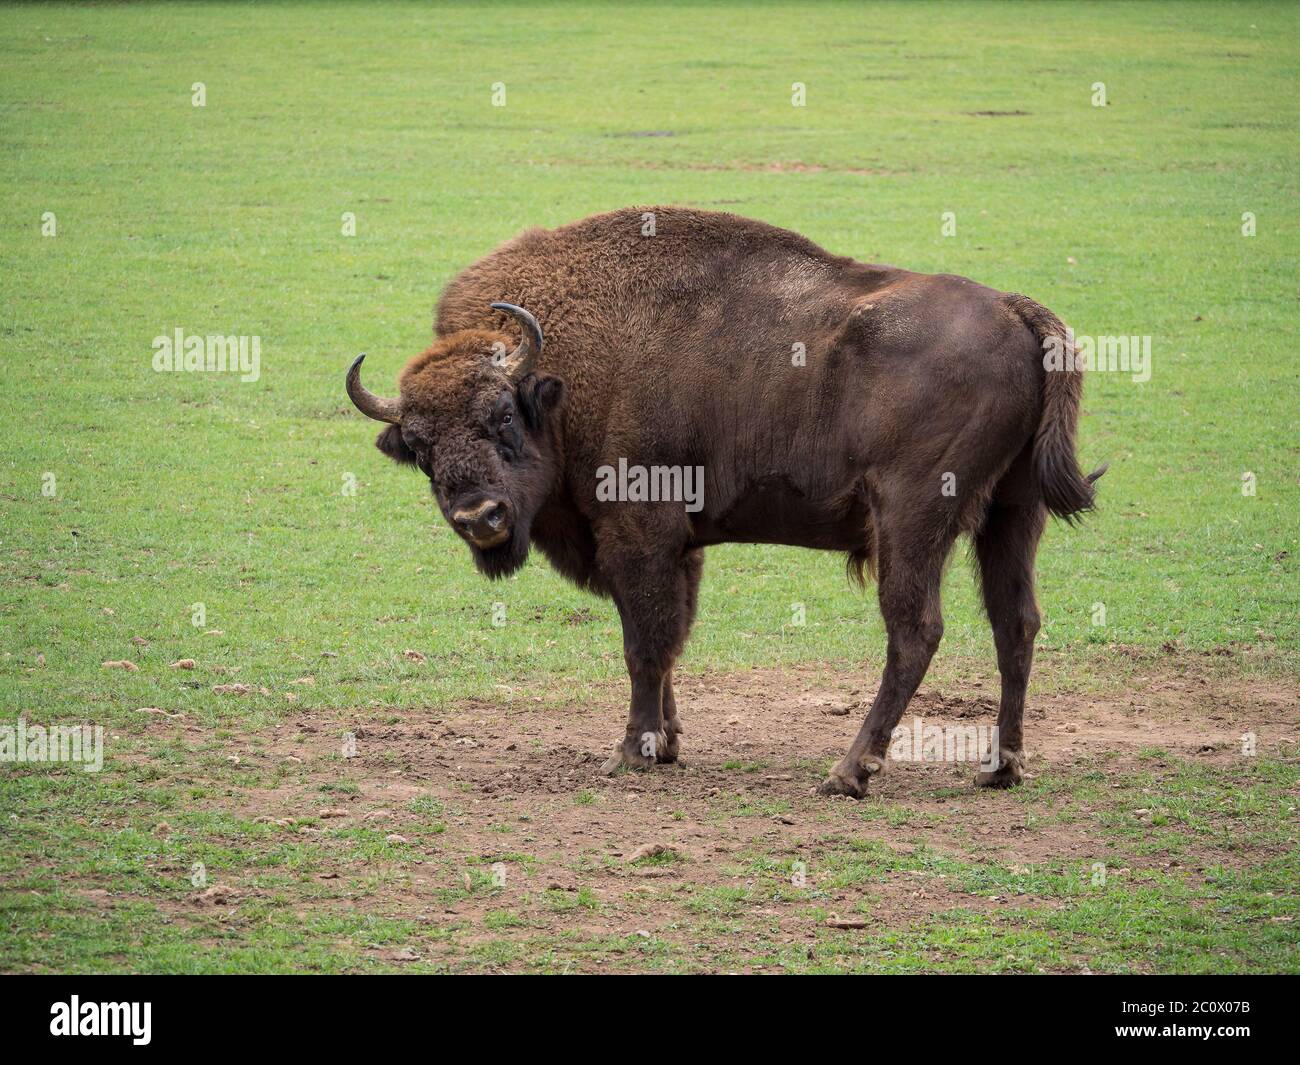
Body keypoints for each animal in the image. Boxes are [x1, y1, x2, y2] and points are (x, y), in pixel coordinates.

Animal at [346, 206, 1103, 797]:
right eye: (418, 447)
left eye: (502, 416)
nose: (480, 519)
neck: (560, 380)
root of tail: (1014, 309)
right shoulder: (673, 548)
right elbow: (667, 639)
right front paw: (668, 741)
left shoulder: (637, 534)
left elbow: (644, 642)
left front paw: (632, 750)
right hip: (1012, 515)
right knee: (1016, 624)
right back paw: (999, 767)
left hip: (912, 516)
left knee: (916, 631)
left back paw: (848, 772)